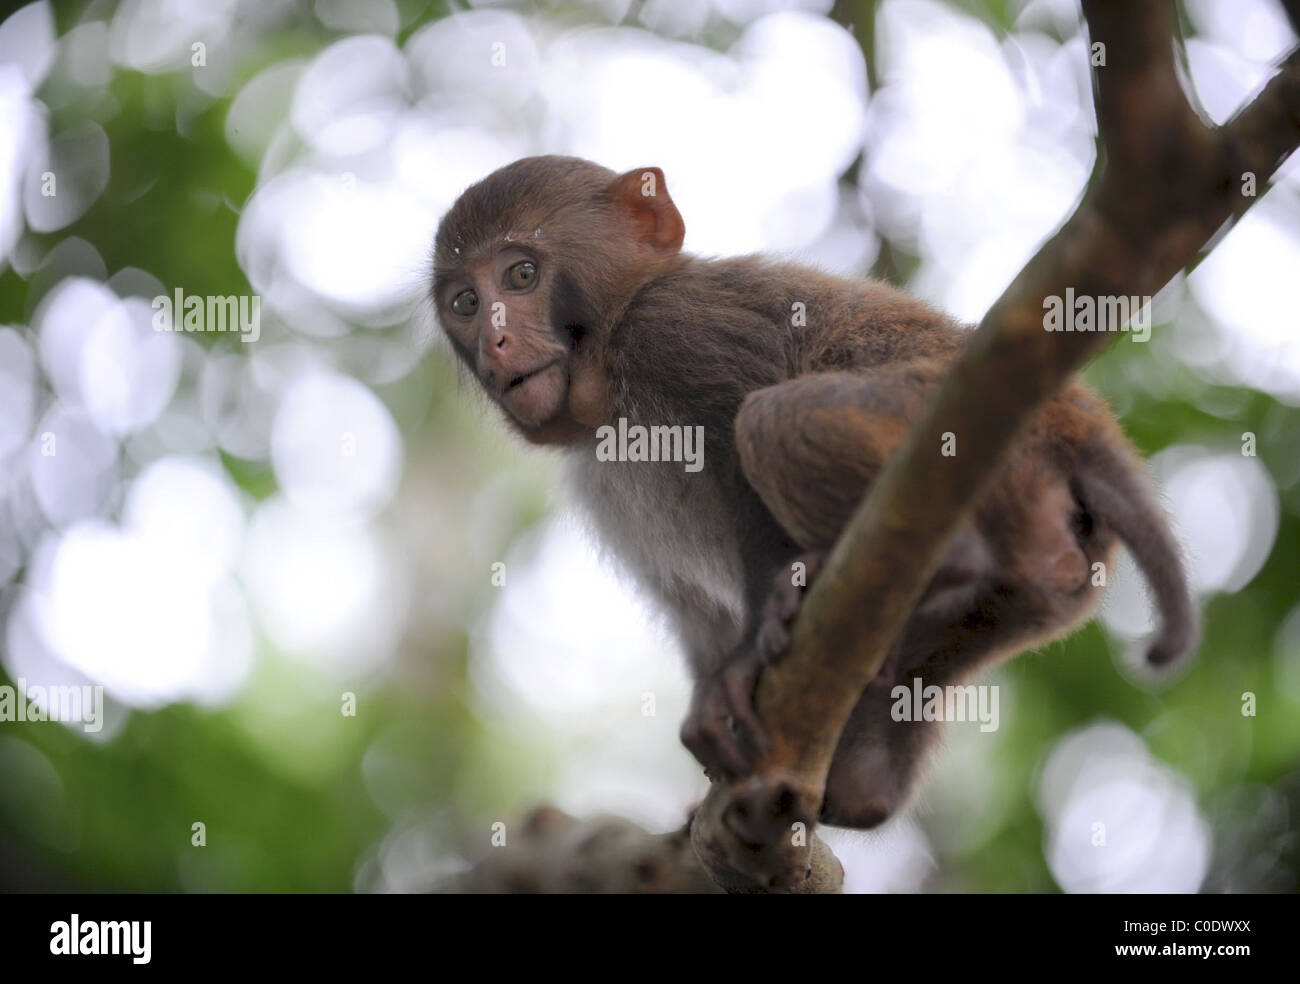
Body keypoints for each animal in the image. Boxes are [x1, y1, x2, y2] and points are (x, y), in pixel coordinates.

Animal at [430, 155, 1197, 829]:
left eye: (521, 275)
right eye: (466, 302)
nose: (496, 342)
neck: (607, 371)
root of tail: (1073, 415)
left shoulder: (675, 332)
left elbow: (735, 433)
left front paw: (742, 662)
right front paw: (712, 702)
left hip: (973, 440)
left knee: (773, 419)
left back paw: (939, 565)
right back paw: (868, 783)